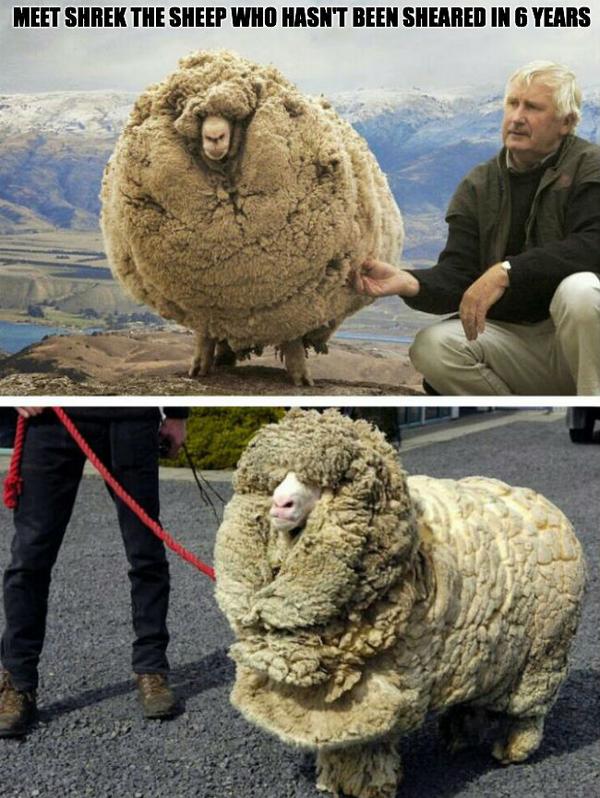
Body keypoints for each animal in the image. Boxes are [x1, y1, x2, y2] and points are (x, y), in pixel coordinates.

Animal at [100, 50, 403, 386]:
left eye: (237, 118)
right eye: (194, 115)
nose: (214, 137)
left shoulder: (300, 299)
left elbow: (293, 338)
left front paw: (300, 376)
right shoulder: (201, 301)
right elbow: (204, 333)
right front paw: (199, 366)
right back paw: (222, 357)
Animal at [214, 409, 586, 798]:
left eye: (320, 484)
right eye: (275, 481)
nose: (280, 505)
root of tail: (546, 505)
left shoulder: (381, 689)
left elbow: (365, 746)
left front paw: (365, 786)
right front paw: (332, 780)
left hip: (543, 655)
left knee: (529, 711)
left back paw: (514, 747)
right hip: (487, 652)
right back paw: (457, 734)